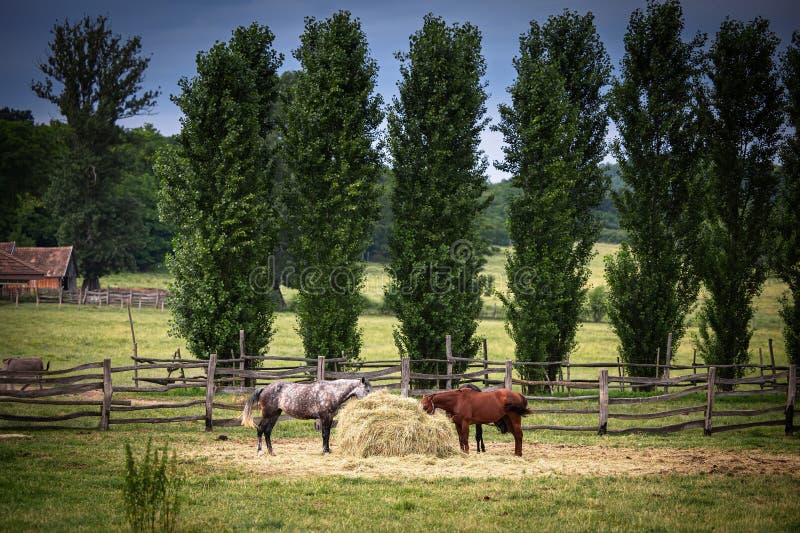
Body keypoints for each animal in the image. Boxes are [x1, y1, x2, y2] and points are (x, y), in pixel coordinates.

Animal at [241, 378, 372, 455]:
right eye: (367, 389)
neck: (331, 392)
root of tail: (264, 388)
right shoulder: (324, 417)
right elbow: (325, 434)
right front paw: (325, 451)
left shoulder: (330, 418)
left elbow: (328, 434)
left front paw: (328, 449)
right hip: (268, 415)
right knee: (260, 429)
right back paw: (260, 451)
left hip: (275, 415)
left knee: (267, 432)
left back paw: (272, 451)